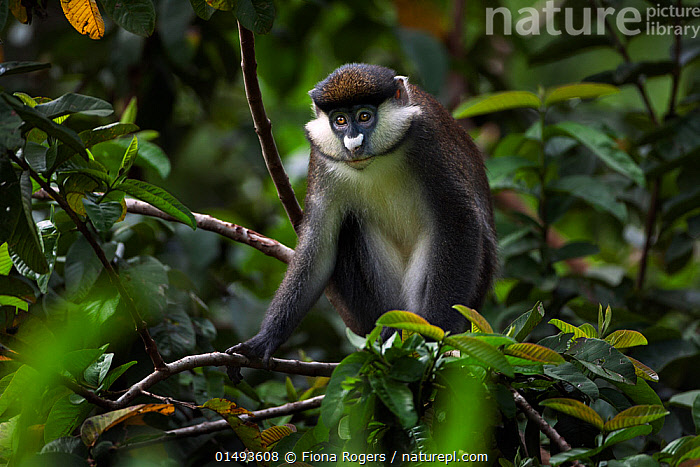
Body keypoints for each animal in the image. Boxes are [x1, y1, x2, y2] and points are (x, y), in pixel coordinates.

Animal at [227, 63, 496, 366]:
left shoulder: (430, 142)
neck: (380, 159)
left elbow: (460, 220)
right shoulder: (322, 161)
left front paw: (434, 333)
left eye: (365, 116)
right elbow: (318, 249)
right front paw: (263, 340)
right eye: (340, 120)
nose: (352, 144)